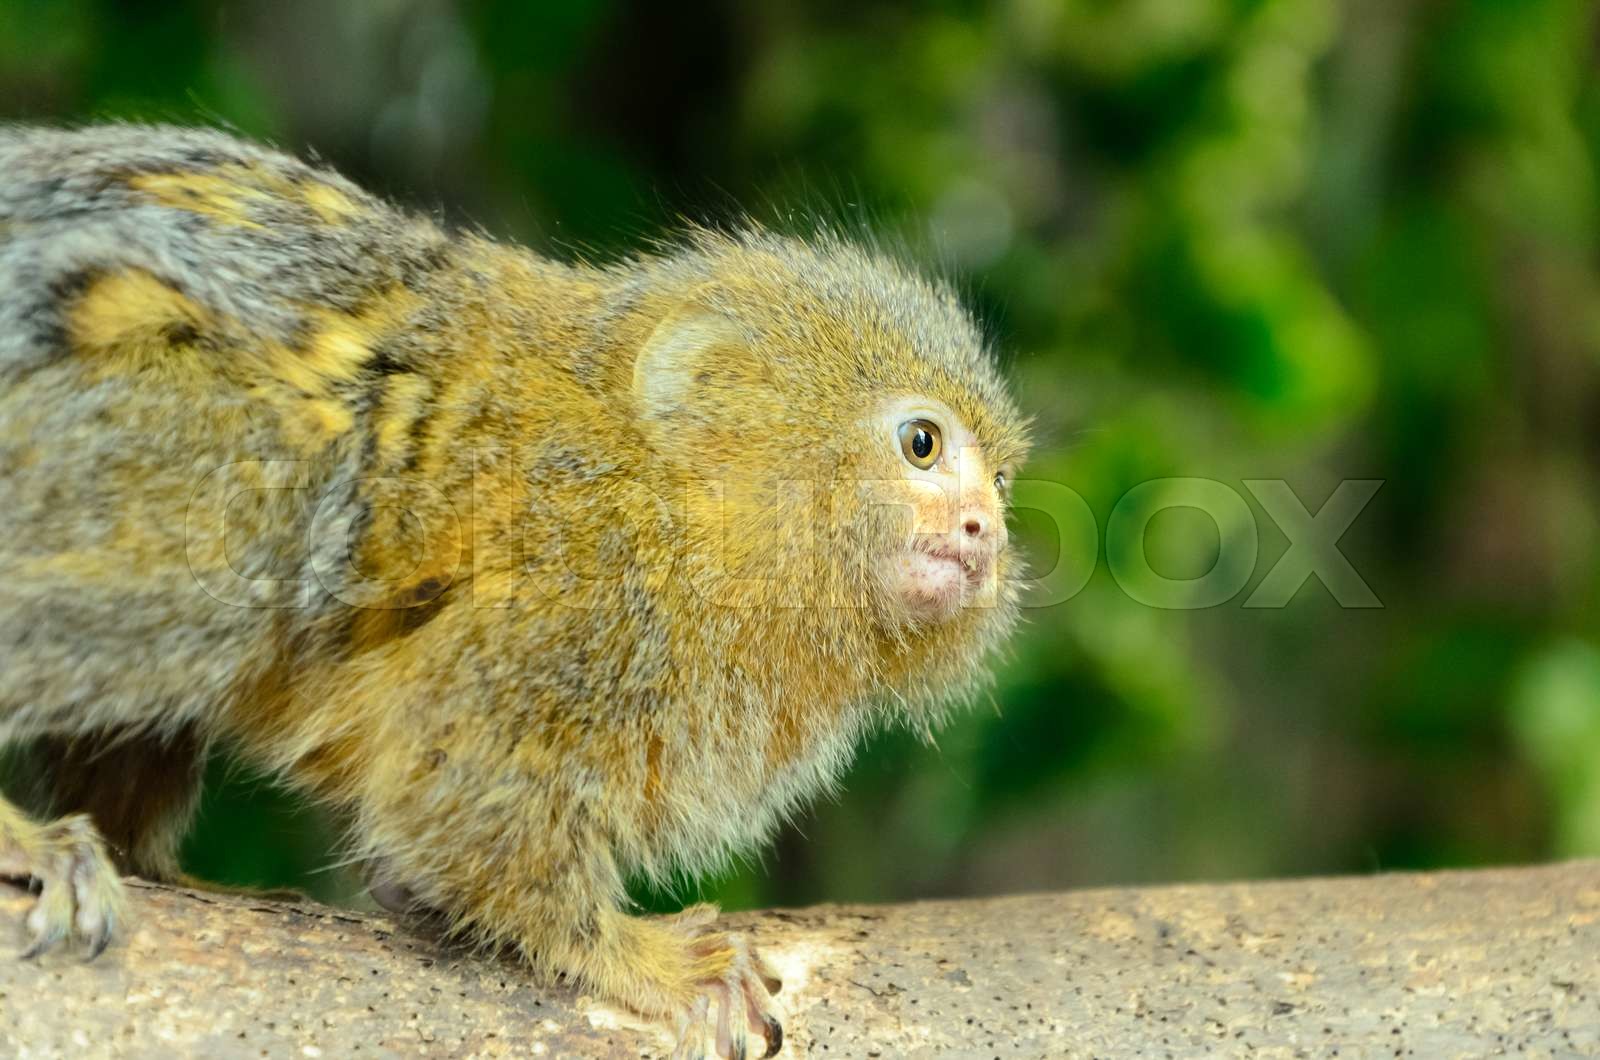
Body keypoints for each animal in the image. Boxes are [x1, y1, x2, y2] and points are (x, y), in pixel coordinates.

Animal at [0, 124, 1029, 1057]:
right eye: (922, 444)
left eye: (1001, 482)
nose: (985, 530)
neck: (669, 497)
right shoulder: (571, 606)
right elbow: (456, 791)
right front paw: (645, 958)